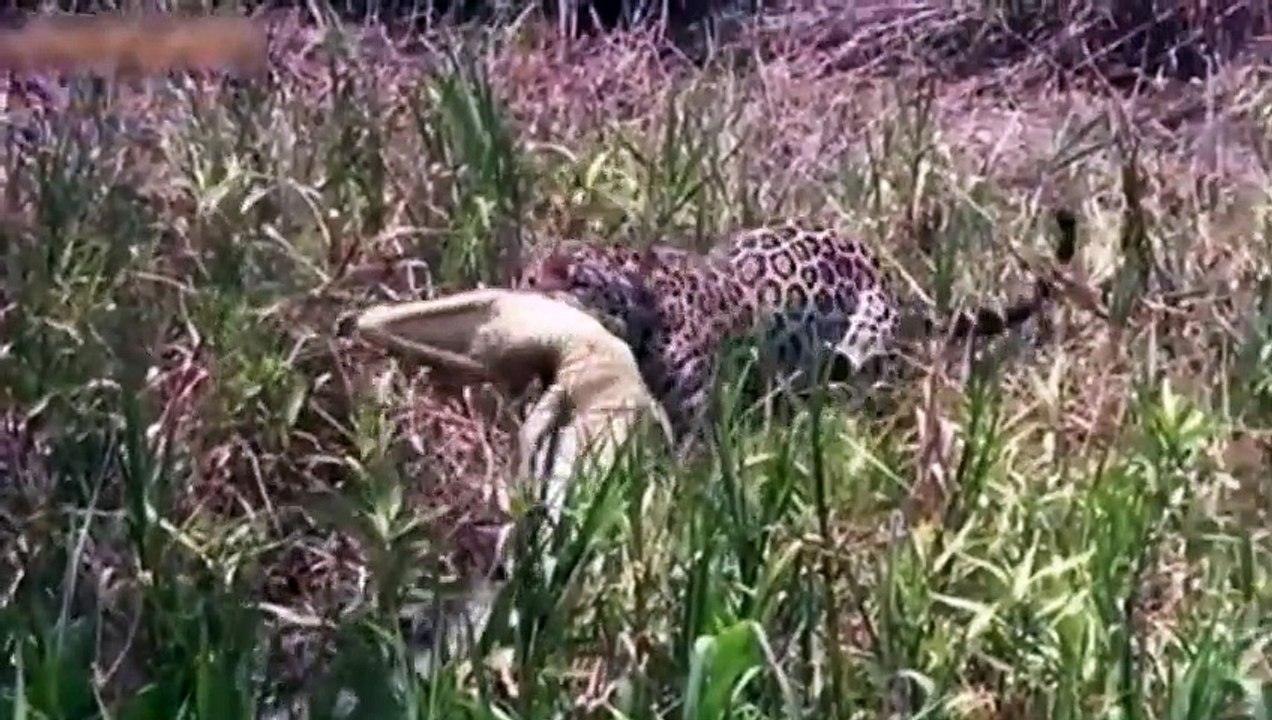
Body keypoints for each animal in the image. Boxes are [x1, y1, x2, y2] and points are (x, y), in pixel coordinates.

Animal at [511, 210, 1078, 449]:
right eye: (530, 276)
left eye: (579, 280)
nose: (533, 294)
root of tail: (887, 275)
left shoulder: (694, 414)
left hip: (864, 355)